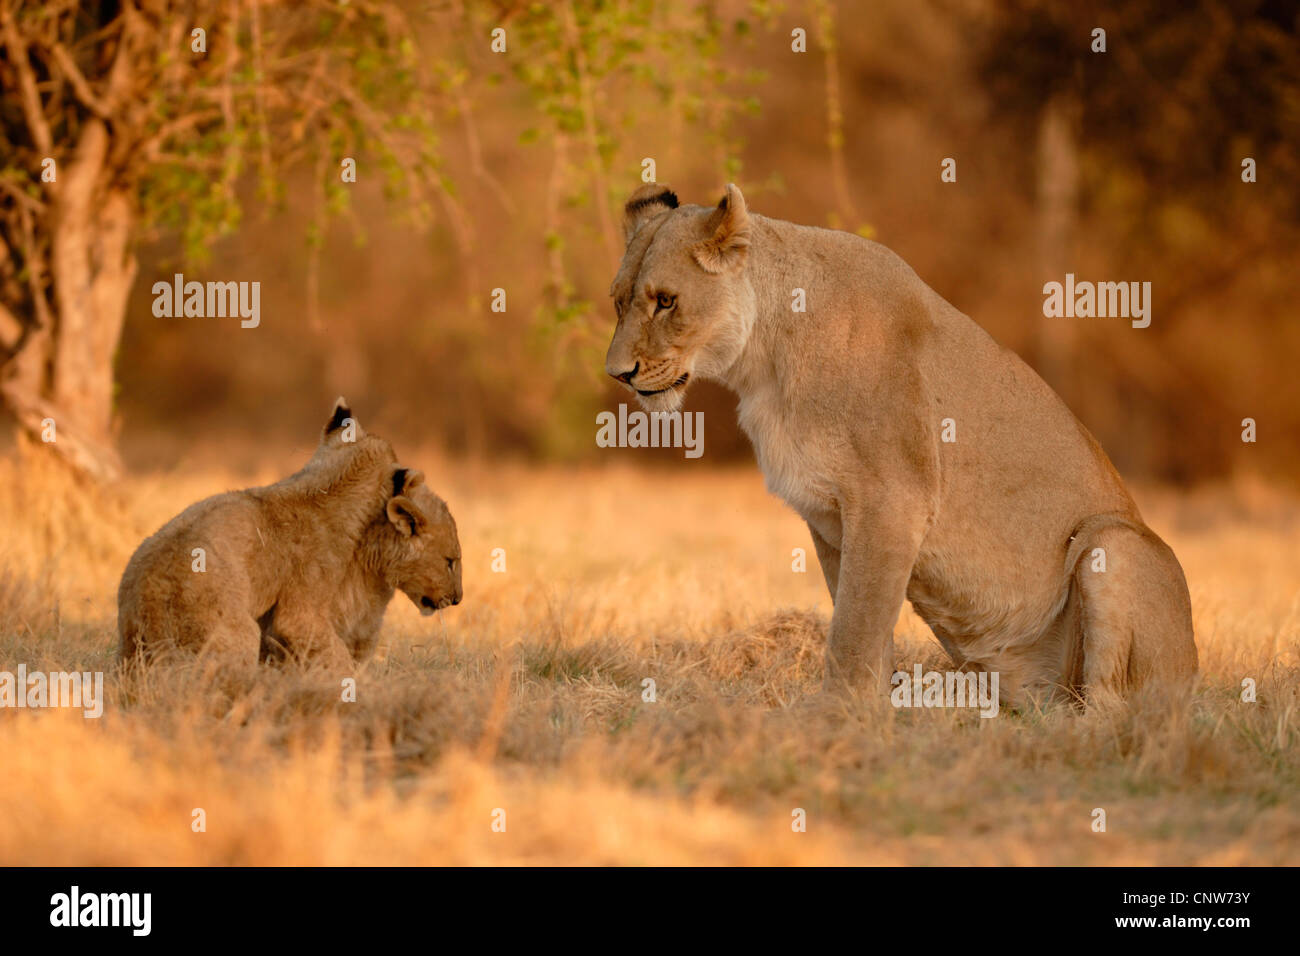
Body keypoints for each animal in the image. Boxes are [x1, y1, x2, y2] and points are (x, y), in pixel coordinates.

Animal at [118, 398, 461, 670]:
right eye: (450, 561)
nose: (457, 599)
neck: (326, 487)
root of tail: (147, 605)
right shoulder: (299, 614)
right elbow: (337, 656)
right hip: (237, 632)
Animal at [604, 183, 1197, 706]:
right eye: (618, 303)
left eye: (665, 302)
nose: (618, 374)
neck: (763, 360)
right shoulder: (828, 513)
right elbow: (861, 622)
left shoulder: (893, 499)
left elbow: (854, 630)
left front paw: (836, 721)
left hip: (1113, 541)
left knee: (1115, 708)